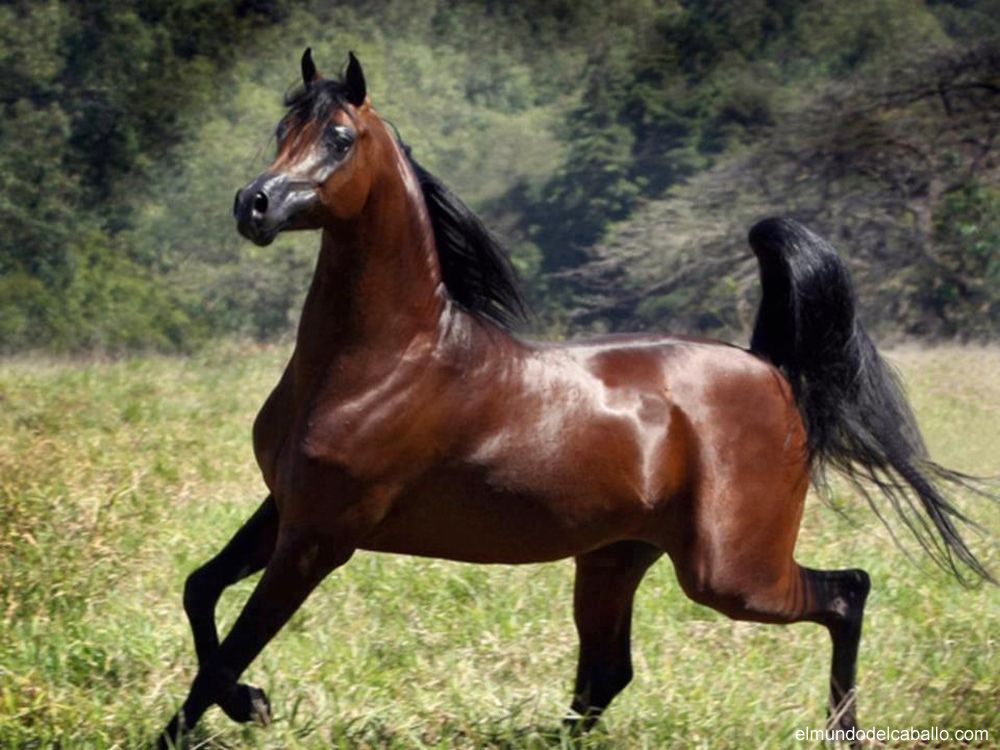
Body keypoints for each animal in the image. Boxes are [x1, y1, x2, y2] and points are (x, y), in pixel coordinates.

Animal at [159, 49, 993, 747]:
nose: (254, 204)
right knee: (606, 675)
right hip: (616, 559)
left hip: (731, 573)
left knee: (847, 593)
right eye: (282, 127)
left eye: (337, 137)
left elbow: (227, 652)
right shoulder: (287, 509)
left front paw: (229, 711)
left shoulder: (321, 537)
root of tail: (773, 372)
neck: (383, 360)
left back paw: (843, 731)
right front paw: (252, 704)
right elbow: (200, 591)